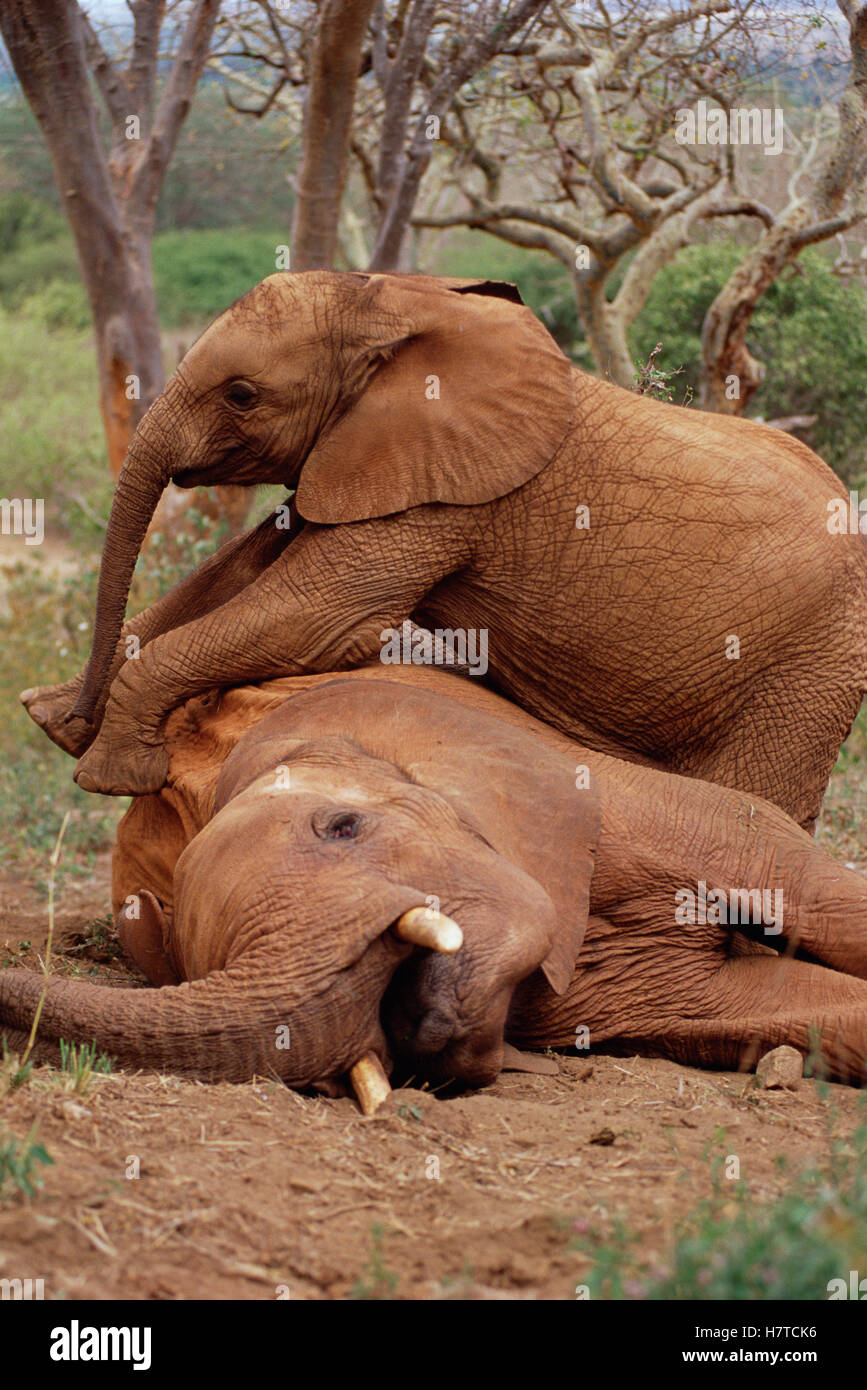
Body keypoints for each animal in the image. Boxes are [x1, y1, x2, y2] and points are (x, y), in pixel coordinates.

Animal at [19, 271, 867, 831]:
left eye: (242, 395)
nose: (77, 712)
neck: (406, 304)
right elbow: (242, 570)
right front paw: (51, 716)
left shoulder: (449, 495)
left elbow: (313, 617)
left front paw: (107, 771)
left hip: (807, 671)